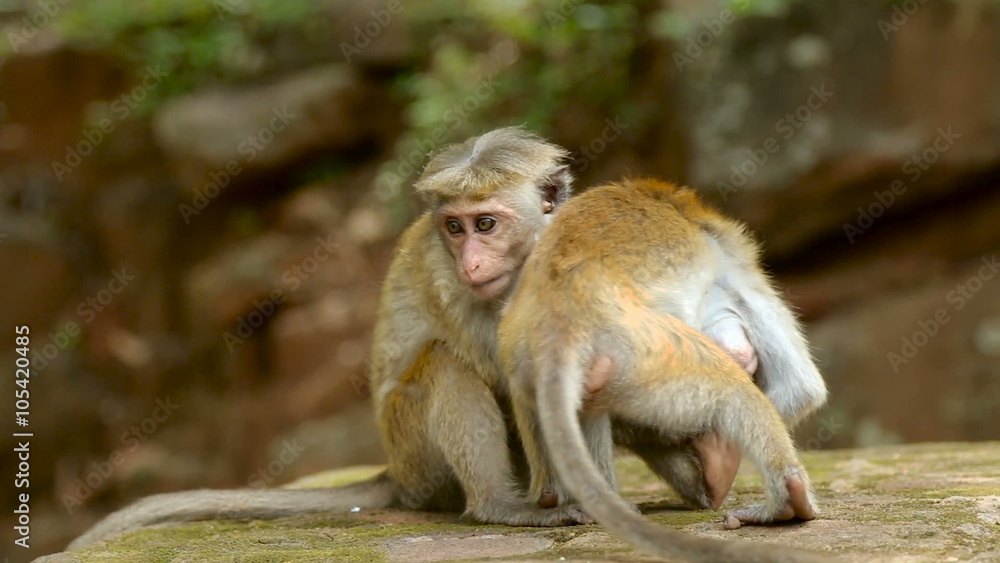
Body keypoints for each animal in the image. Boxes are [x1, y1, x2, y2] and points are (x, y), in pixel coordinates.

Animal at [498, 178, 830, 561]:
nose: (746, 362)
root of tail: (561, 319)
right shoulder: (730, 262)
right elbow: (802, 388)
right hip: (651, 350)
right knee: (730, 388)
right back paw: (785, 500)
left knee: (586, 407)